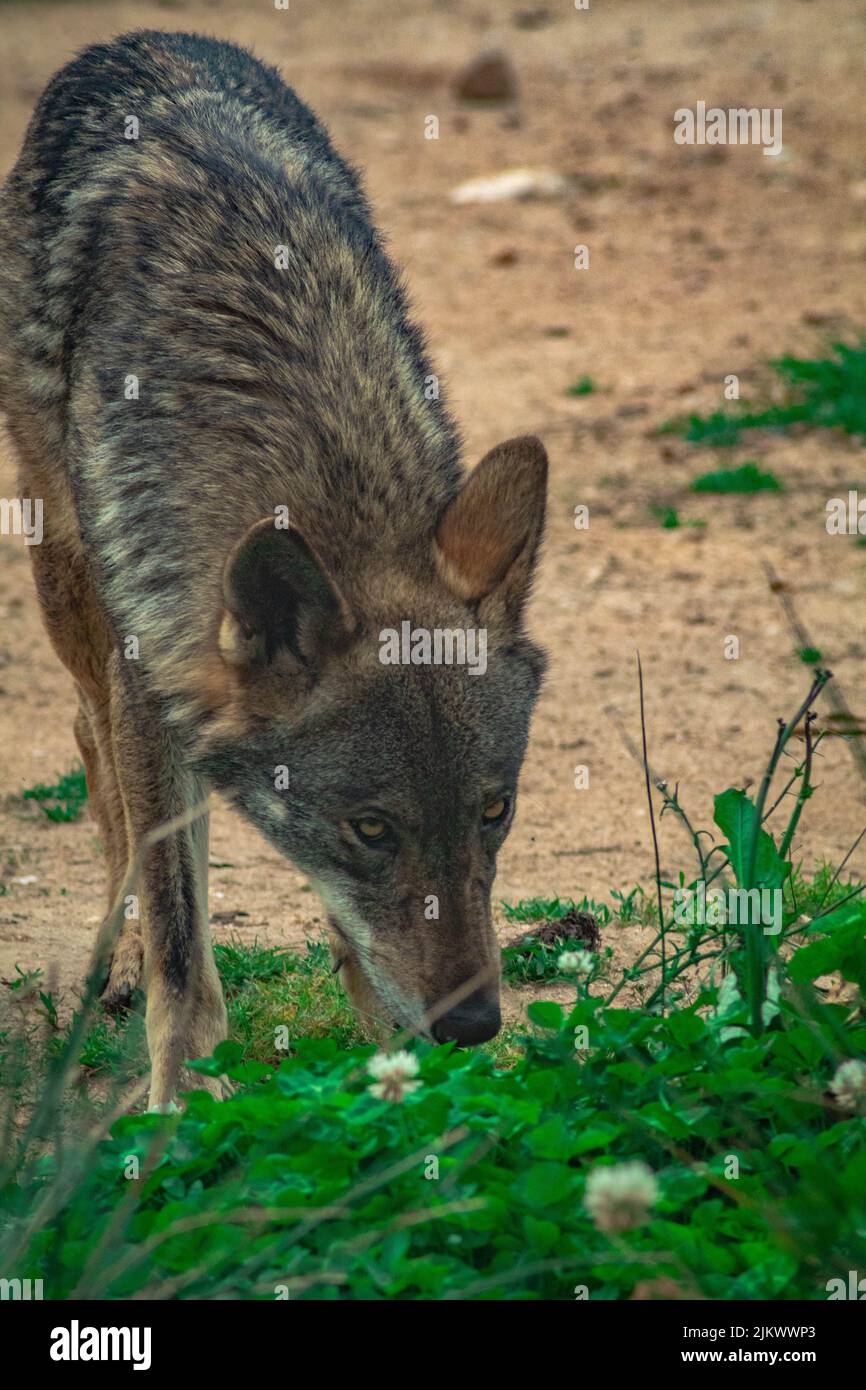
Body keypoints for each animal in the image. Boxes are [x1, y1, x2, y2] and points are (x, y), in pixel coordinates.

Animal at [0, 31, 547, 1108]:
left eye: (494, 810)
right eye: (371, 828)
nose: (473, 1024)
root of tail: (142, 39)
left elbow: (351, 927)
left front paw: (395, 1055)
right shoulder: (153, 673)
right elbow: (180, 935)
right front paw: (179, 1096)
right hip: (67, 572)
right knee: (93, 748)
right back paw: (117, 960)